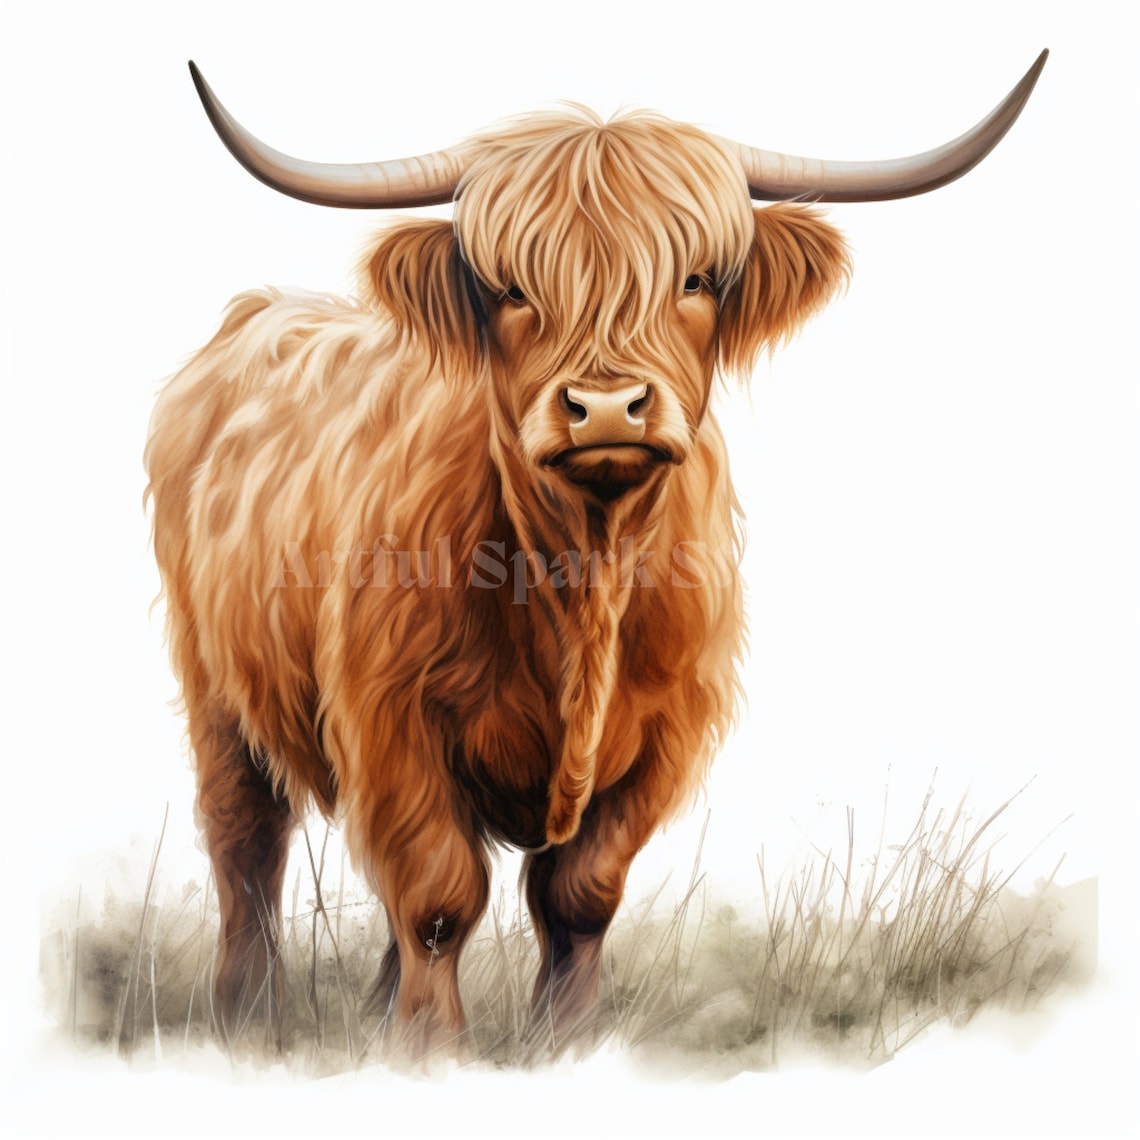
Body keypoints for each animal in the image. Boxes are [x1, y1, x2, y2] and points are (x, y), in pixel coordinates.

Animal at [145, 52, 1046, 1053]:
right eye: (510, 288)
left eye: (697, 278)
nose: (608, 406)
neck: (582, 565)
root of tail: (260, 313)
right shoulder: (391, 721)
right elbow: (435, 894)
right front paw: (430, 1051)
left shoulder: (666, 731)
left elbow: (579, 895)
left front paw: (565, 1044)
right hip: (213, 683)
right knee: (246, 841)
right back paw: (245, 1013)